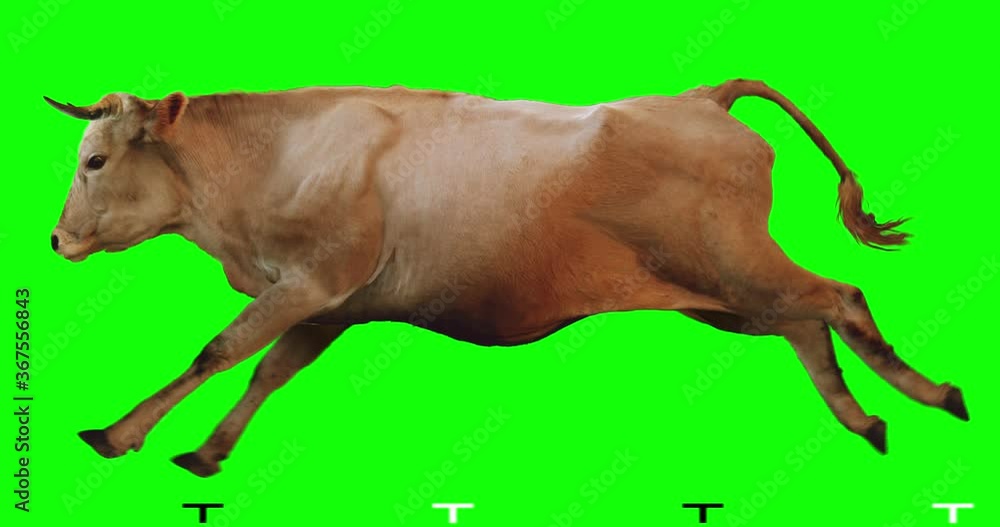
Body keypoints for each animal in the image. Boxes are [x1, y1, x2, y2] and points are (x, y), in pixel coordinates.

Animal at [46, 79, 968, 477]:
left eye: (94, 161)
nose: (55, 239)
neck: (273, 156)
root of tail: (703, 96)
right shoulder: (332, 302)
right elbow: (271, 370)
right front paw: (207, 451)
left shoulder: (310, 281)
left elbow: (219, 349)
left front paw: (118, 433)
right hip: (726, 292)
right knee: (808, 322)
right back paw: (866, 418)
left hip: (736, 268)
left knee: (840, 298)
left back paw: (933, 393)